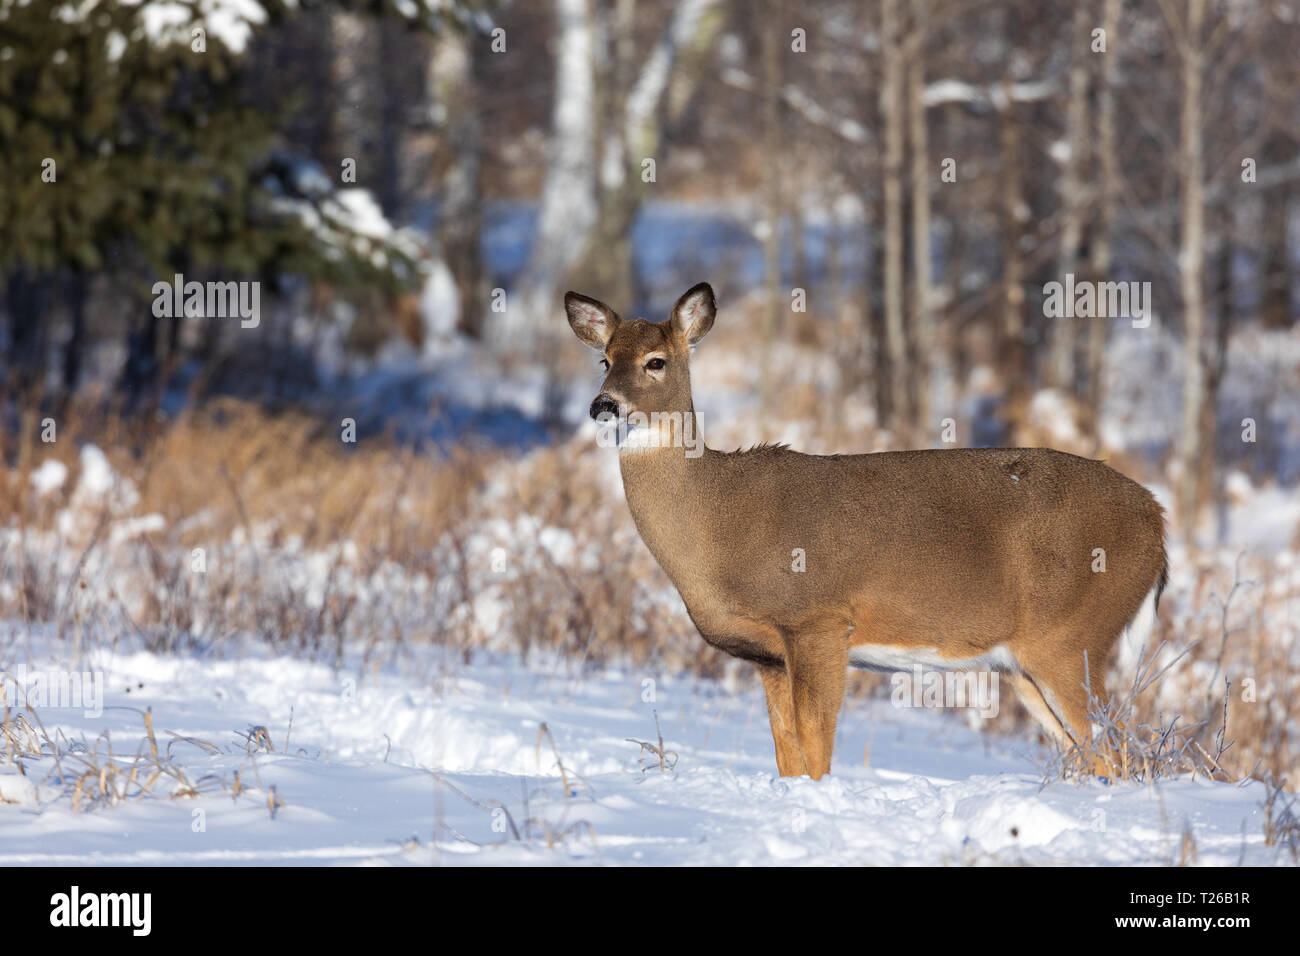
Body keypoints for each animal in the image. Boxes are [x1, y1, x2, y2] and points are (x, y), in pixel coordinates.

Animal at [565, 281, 1168, 780]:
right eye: (604, 359)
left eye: (656, 361)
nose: (603, 404)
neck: (719, 520)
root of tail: (1158, 523)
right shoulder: (768, 654)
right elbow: (786, 749)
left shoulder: (819, 618)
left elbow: (815, 742)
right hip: (1023, 662)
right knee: (1089, 753)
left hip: (1071, 636)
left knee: (1116, 752)